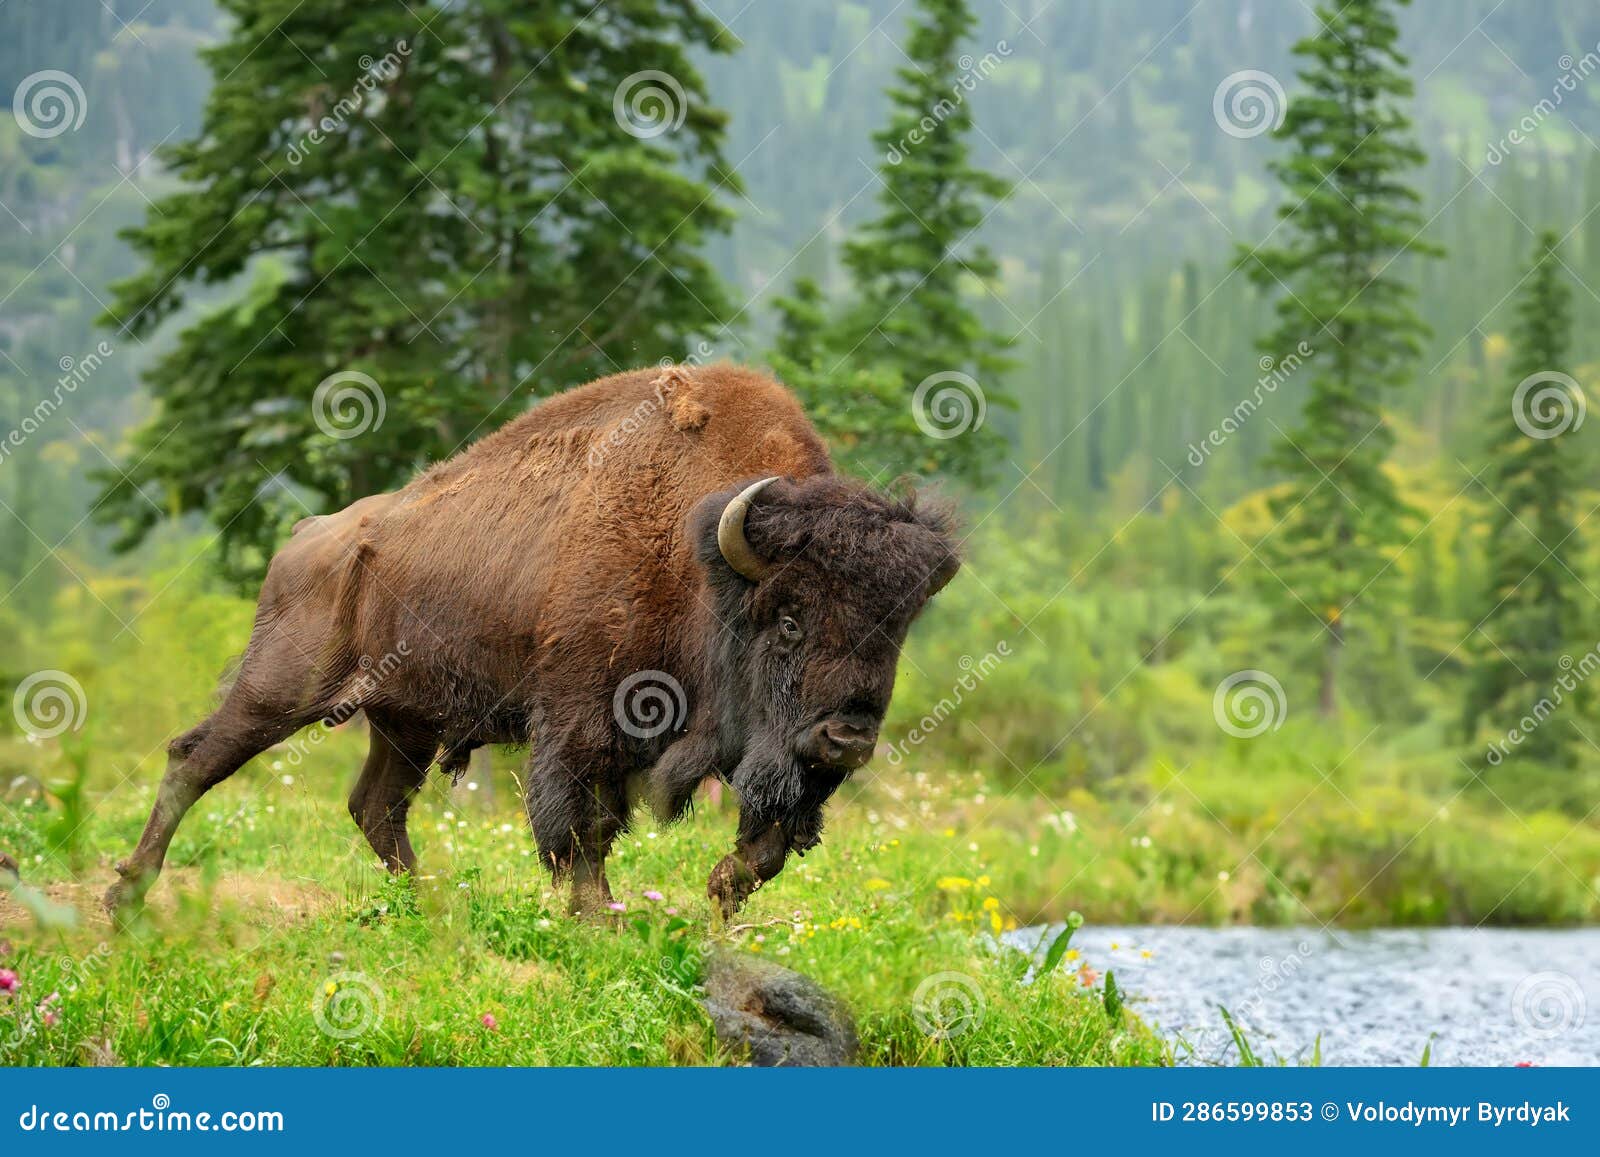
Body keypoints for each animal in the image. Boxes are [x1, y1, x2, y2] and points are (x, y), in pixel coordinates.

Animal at [106, 364, 959, 918]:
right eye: (788, 617)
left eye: (896, 627)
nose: (848, 737)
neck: (701, 558)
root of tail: (310, 533)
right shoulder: (583, 719)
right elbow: (579, 826)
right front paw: (598, 915)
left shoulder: (769, 758)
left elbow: (763, 845)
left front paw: (714, 896)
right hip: (281, 685)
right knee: (196, 757)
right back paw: (126, 892)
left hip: (404, 720)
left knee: (376, 805)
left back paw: (434, 906)